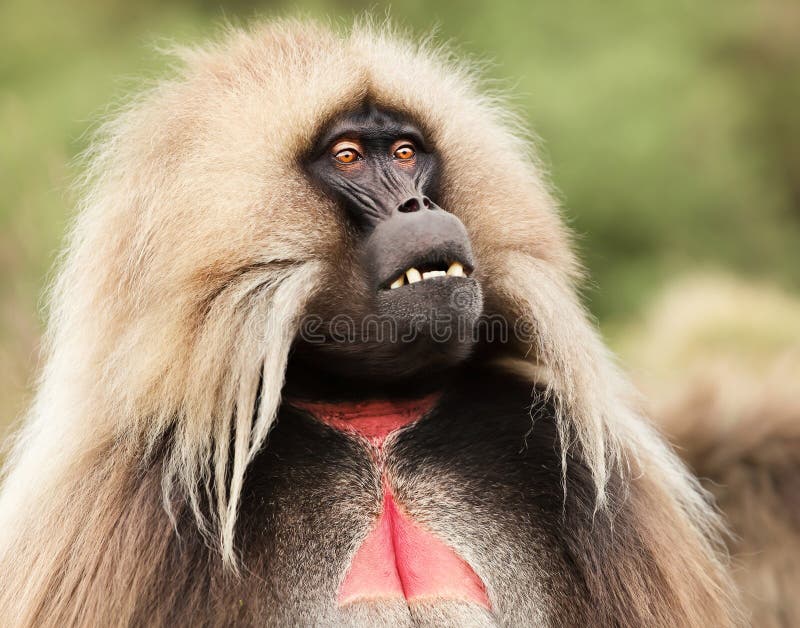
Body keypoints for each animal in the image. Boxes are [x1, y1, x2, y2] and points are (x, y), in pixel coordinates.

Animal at [0, 20, 740, 627]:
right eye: (350, 156)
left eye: (408, 153)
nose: (419, 207)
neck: (372, 413)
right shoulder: (124, 503)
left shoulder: (581, 462)